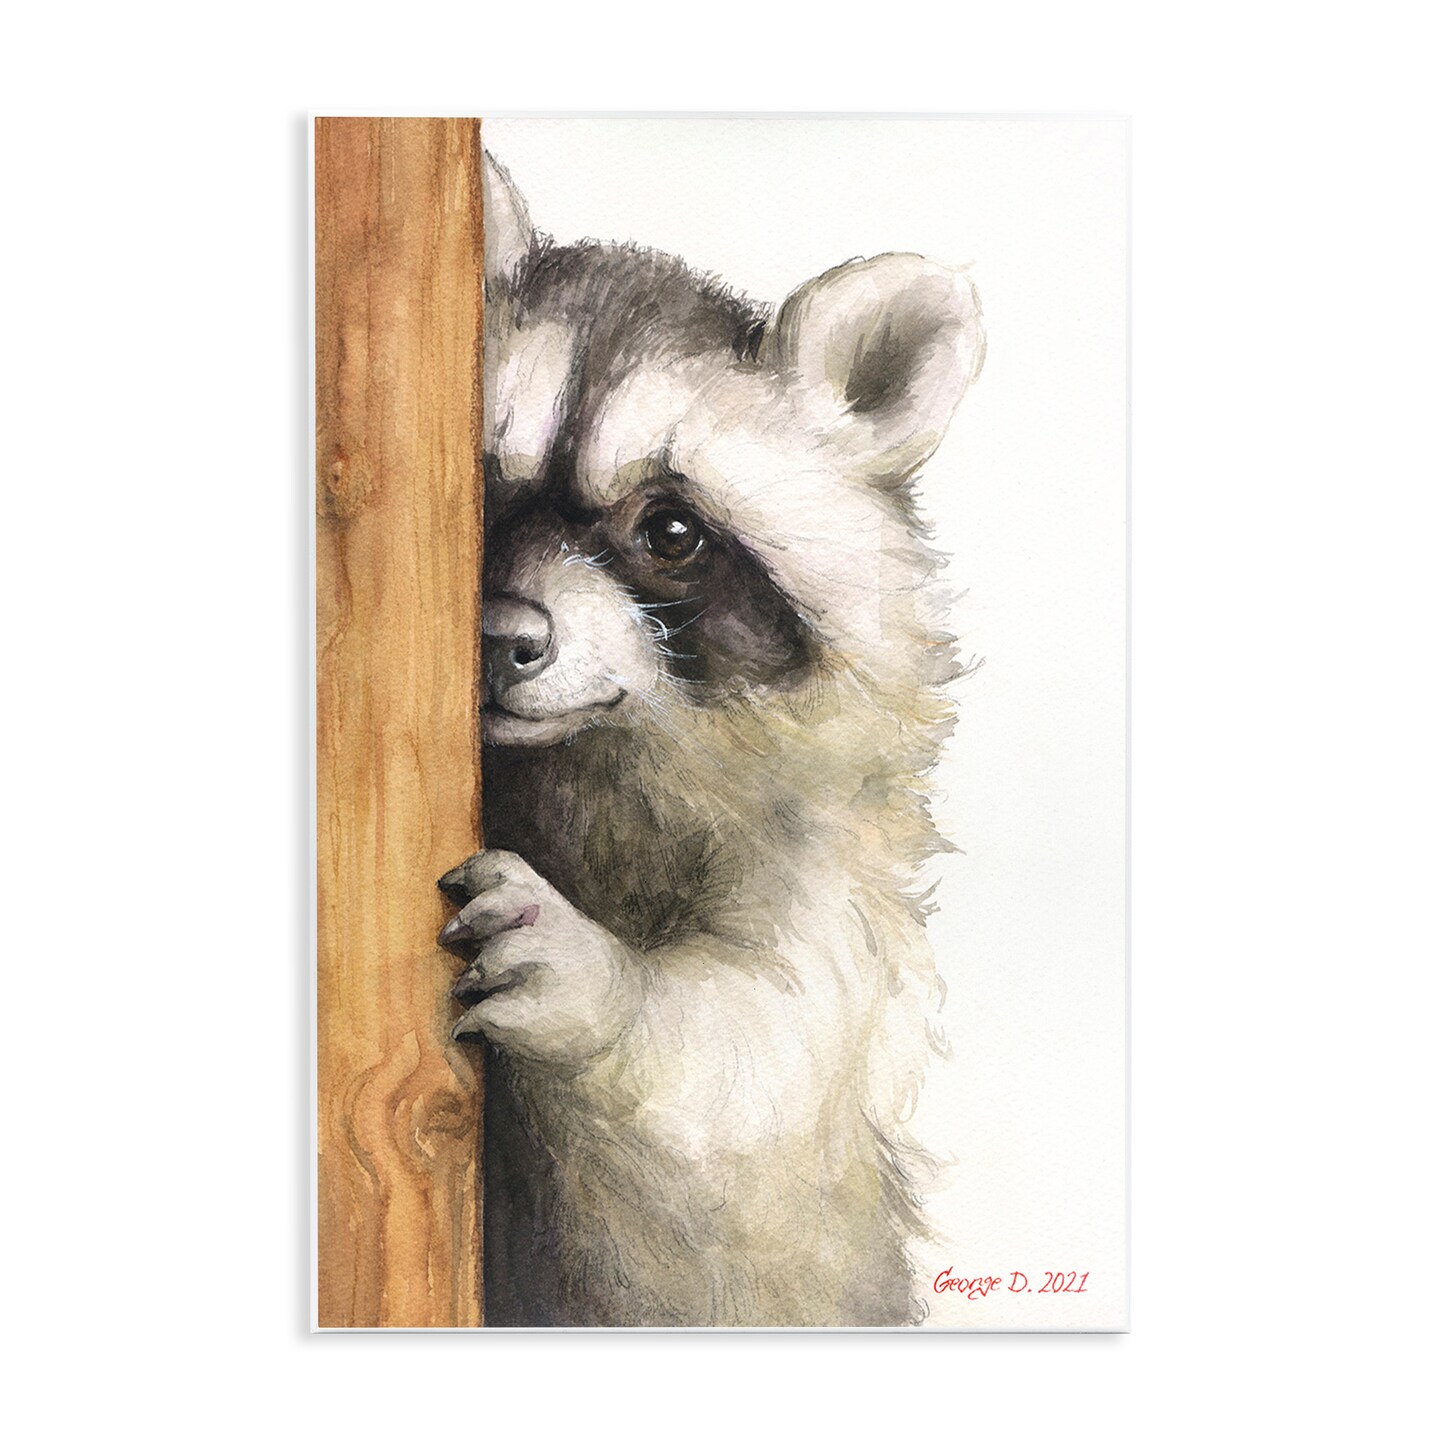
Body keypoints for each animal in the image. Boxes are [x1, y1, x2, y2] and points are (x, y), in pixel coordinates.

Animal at [436, 153, 984, 1327]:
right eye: (477, 486)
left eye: (671, 532)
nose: (503, 641)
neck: (583, 764)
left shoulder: (832, 874)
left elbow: (753, 1067)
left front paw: (600, 990)